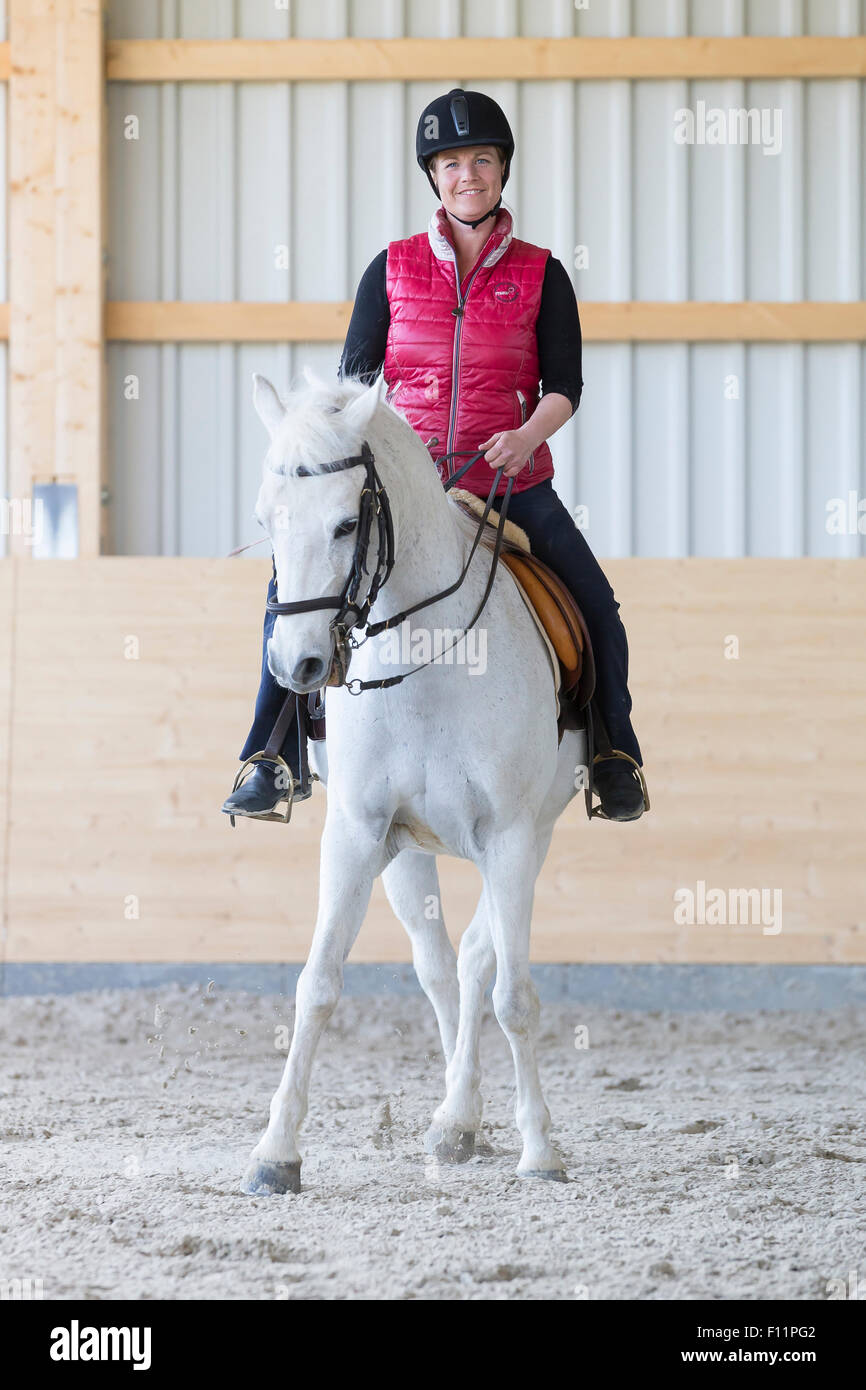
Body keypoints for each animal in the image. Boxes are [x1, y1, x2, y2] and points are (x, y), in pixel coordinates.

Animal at [241, 367, 587, 1194]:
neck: (427, 654)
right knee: (441, 967)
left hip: (534, 836)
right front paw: (276, 1153)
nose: (297, 664)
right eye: (268, 519)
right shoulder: (358, 833)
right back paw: (456, 1121)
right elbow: (318, 984)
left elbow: (514, 996)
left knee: (480, 960)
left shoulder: (511, 836)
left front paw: (541, 1150)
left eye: (345, 525)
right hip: (406, 854)